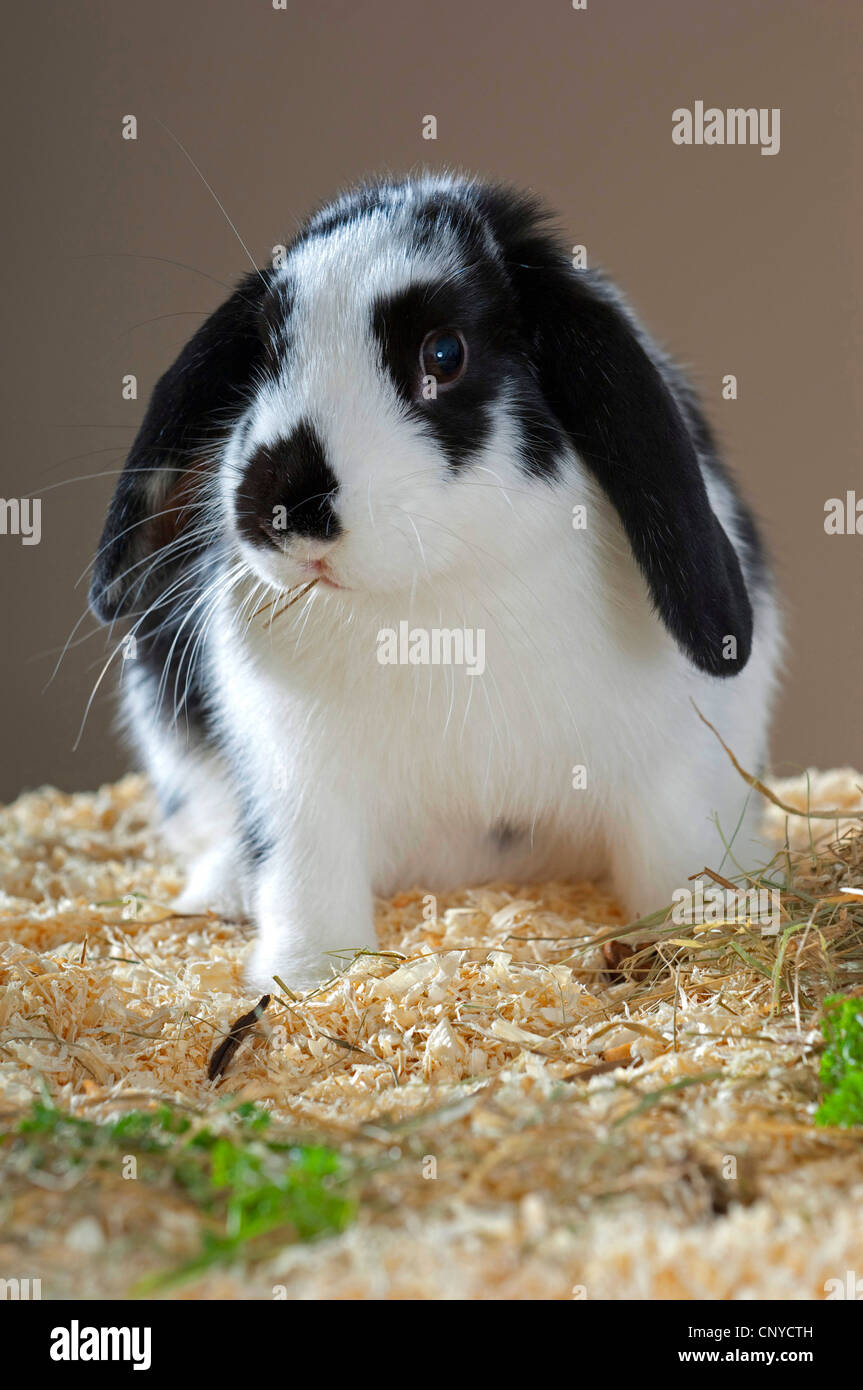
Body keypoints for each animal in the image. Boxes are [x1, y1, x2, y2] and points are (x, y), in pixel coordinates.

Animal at [89, 172, 782, 991]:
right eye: (268, 349)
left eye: (444, 354)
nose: (282, 506)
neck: (437, 602)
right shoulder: (298, 788)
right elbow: (304, 886)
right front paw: (304, 980)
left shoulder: (672, 773)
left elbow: (675, 860)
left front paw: (702, 937)